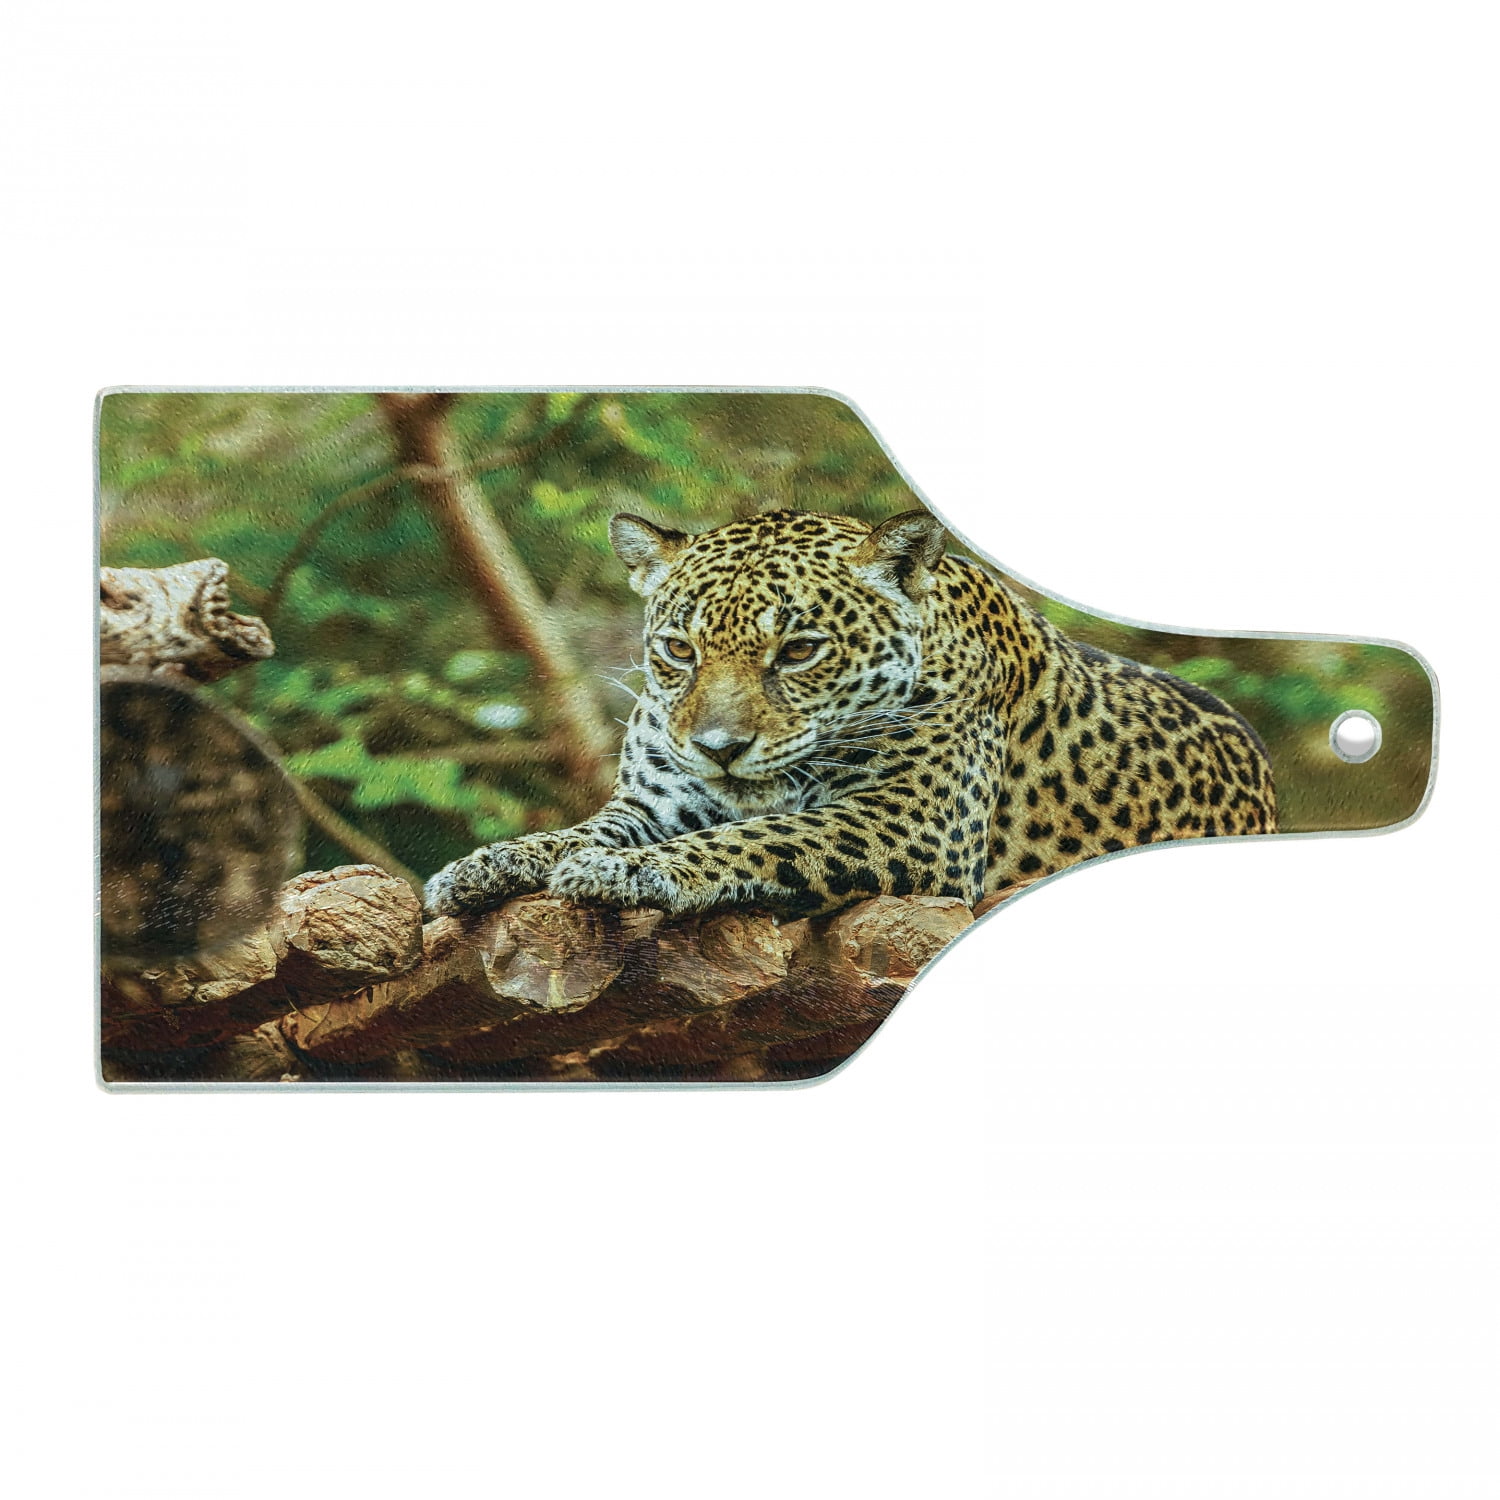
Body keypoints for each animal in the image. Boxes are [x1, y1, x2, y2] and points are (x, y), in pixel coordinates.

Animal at [424, 507, 1277, 921]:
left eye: (800, 650)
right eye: (678, 649)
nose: (719, 747)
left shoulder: (912, 819)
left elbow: (758, 837)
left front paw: (625, 871)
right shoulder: (653, 803)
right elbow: (573, 831)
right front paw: (483, 866)